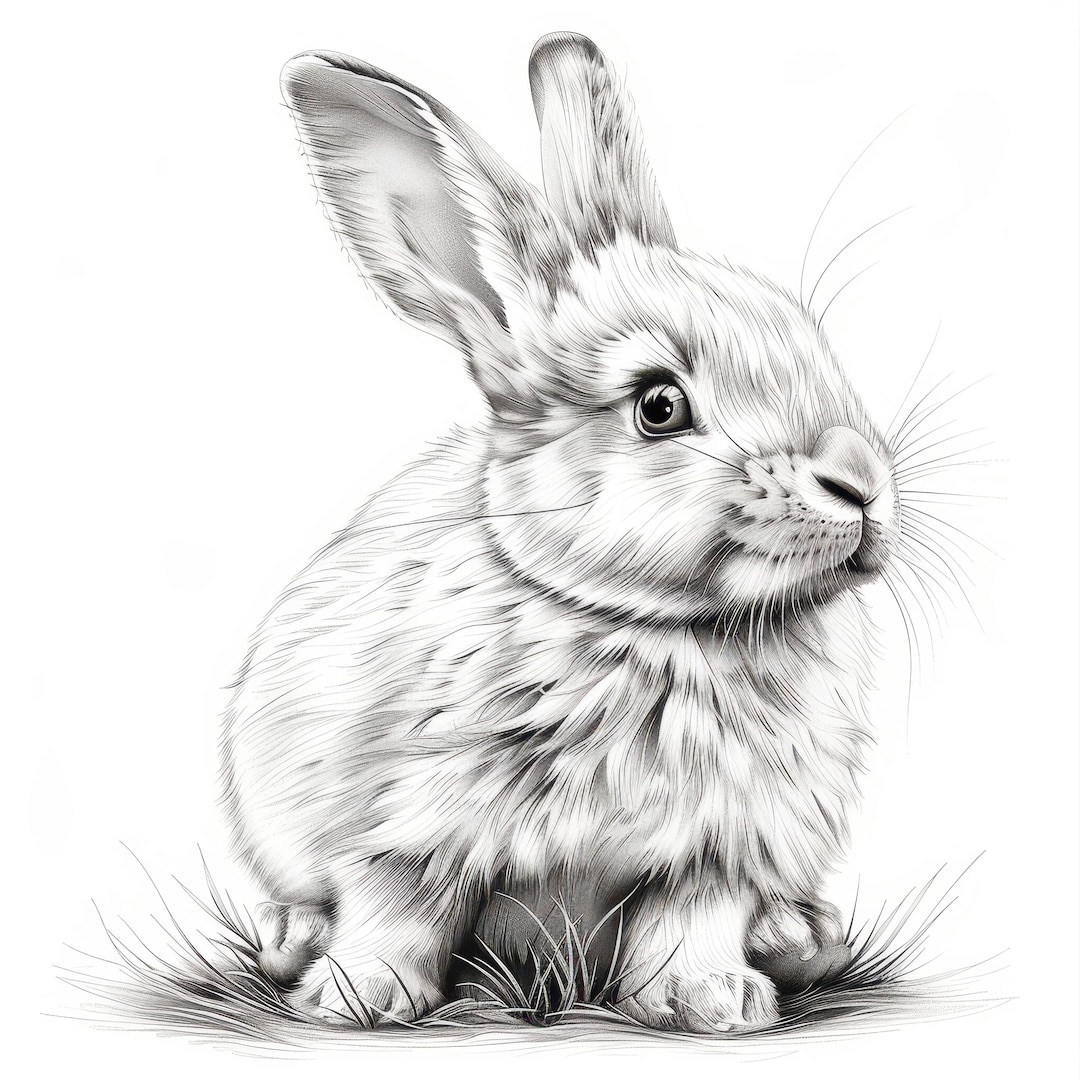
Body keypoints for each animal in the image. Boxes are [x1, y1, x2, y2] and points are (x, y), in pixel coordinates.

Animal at [219, 31, 900, 1033]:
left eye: (813, 343)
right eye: (660, 405)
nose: (862, 488)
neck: (648, 627)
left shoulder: (722, 846)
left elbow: (693, 918)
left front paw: (714, 999)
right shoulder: (397, 819)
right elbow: (397, 905)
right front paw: (362, 994)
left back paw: (797, 942)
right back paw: (292, 940)